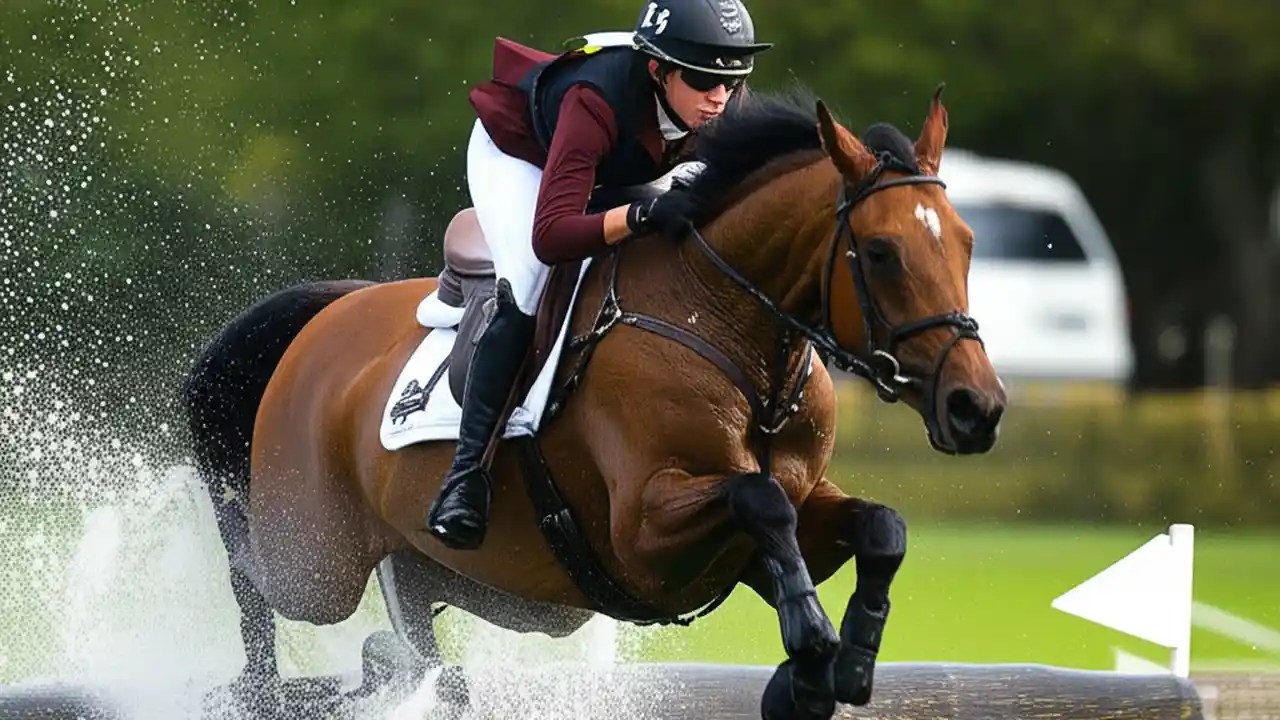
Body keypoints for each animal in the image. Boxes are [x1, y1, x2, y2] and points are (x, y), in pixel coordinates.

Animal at [182, 85, 1006, 720]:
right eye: (882, 253)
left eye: (967, 243)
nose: (977, 408)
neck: (731, 331)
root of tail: (323, 315)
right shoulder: (644, 532)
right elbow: (760, 499)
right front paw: (810, 647)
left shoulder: (789, 519)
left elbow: (879, 527)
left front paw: (840, 667)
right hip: (314, 557)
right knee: (257, 571)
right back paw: (245, 667)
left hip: (432, 564)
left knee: (407, 647)